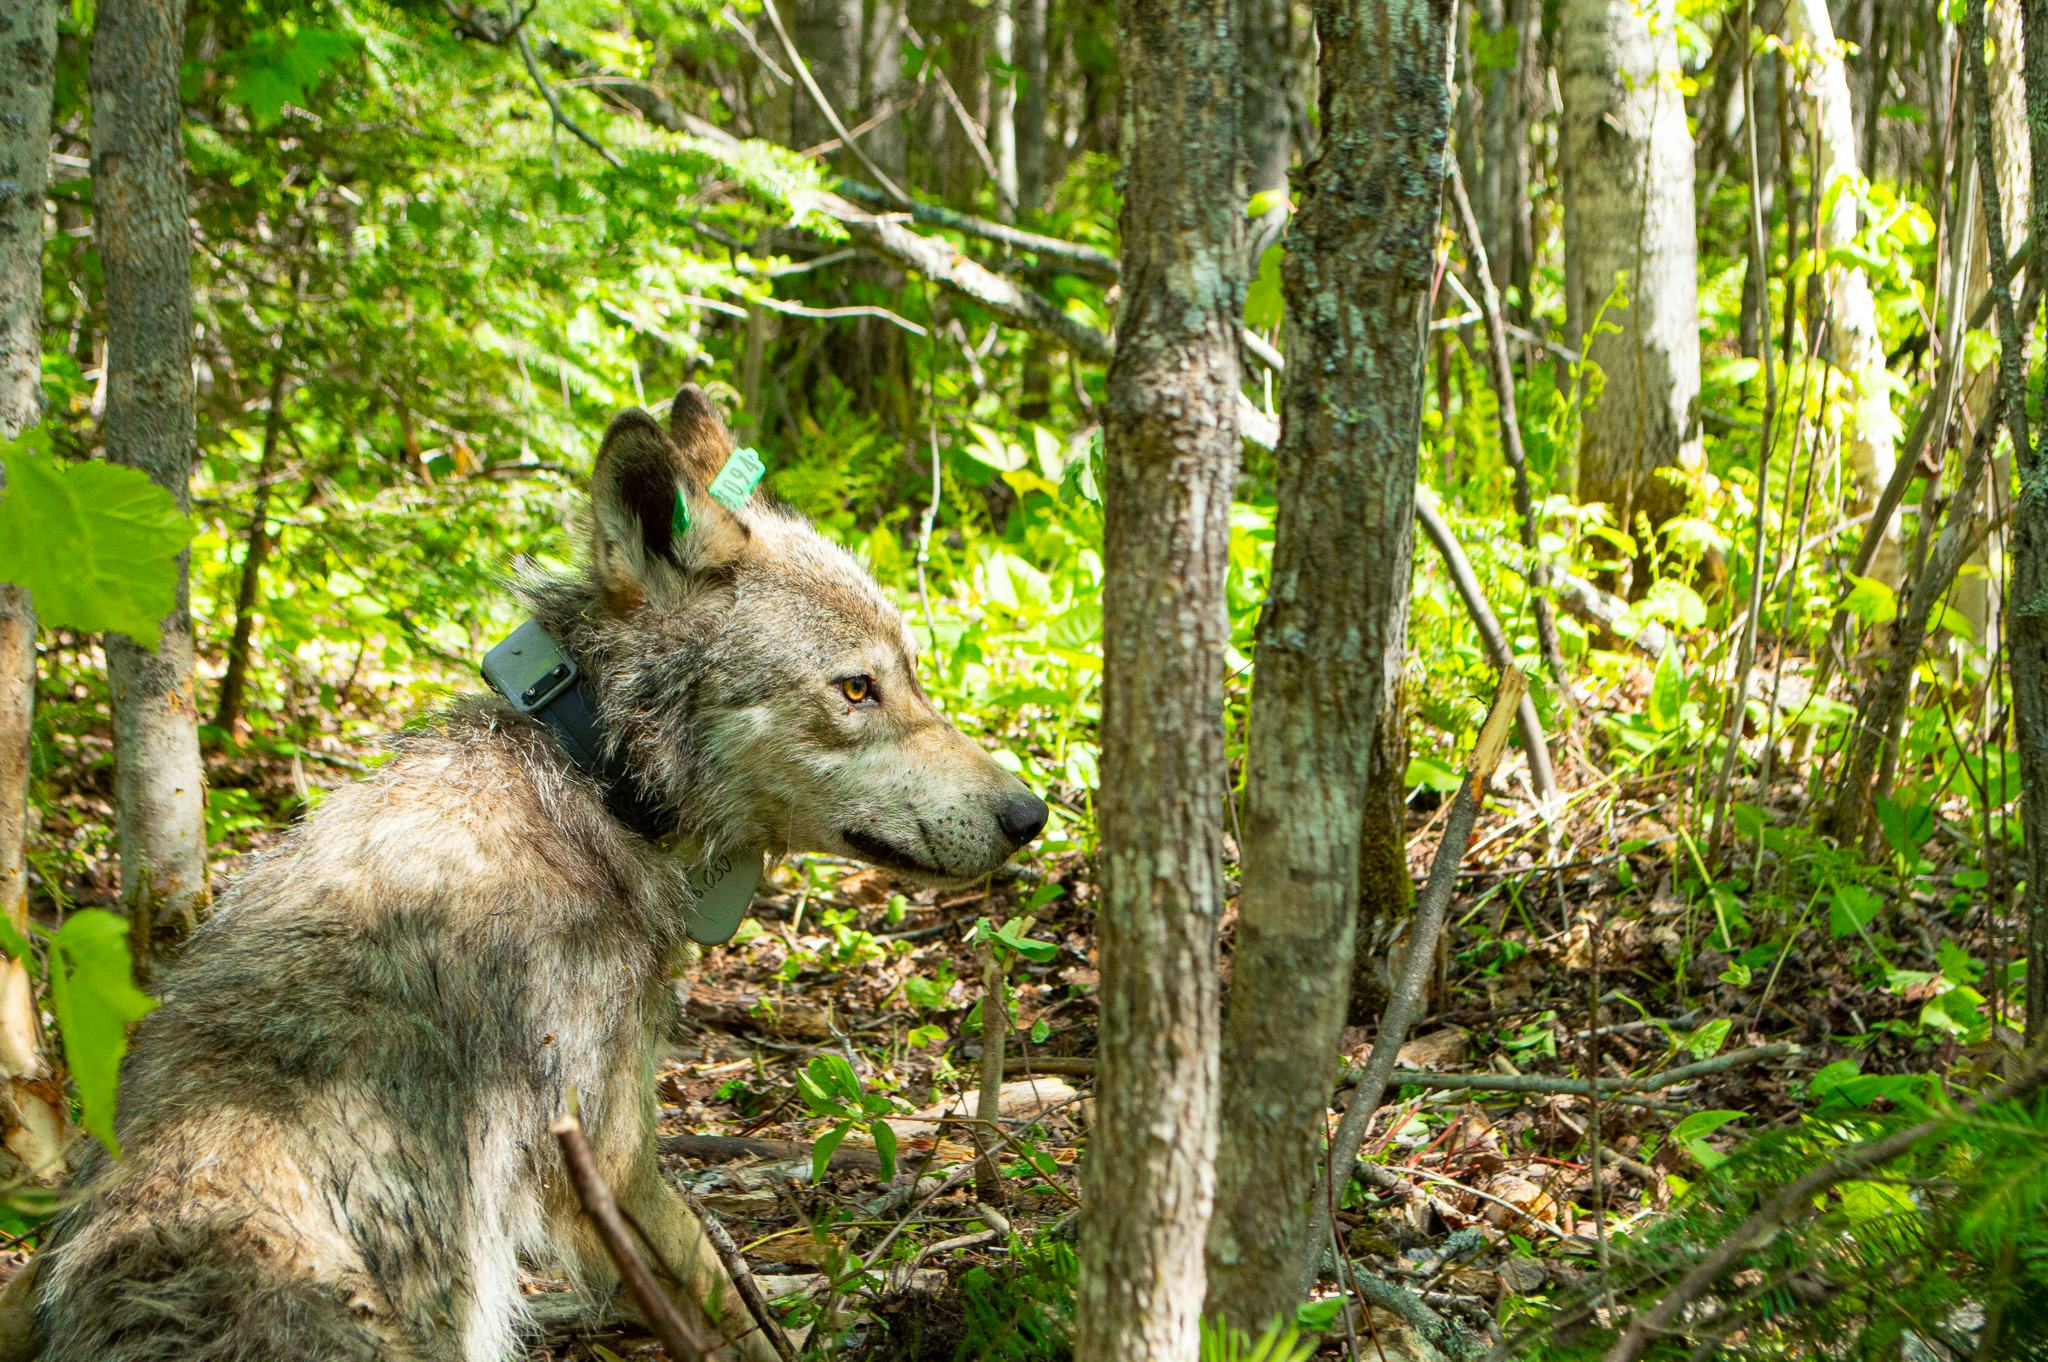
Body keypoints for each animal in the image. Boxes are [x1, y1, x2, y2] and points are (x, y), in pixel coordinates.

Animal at [15, 384, 1046, 1361]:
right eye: (856, 689)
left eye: (913, 676)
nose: (1030, 815)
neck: (592, 781)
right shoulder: (610, 1155)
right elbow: (732, 1304)